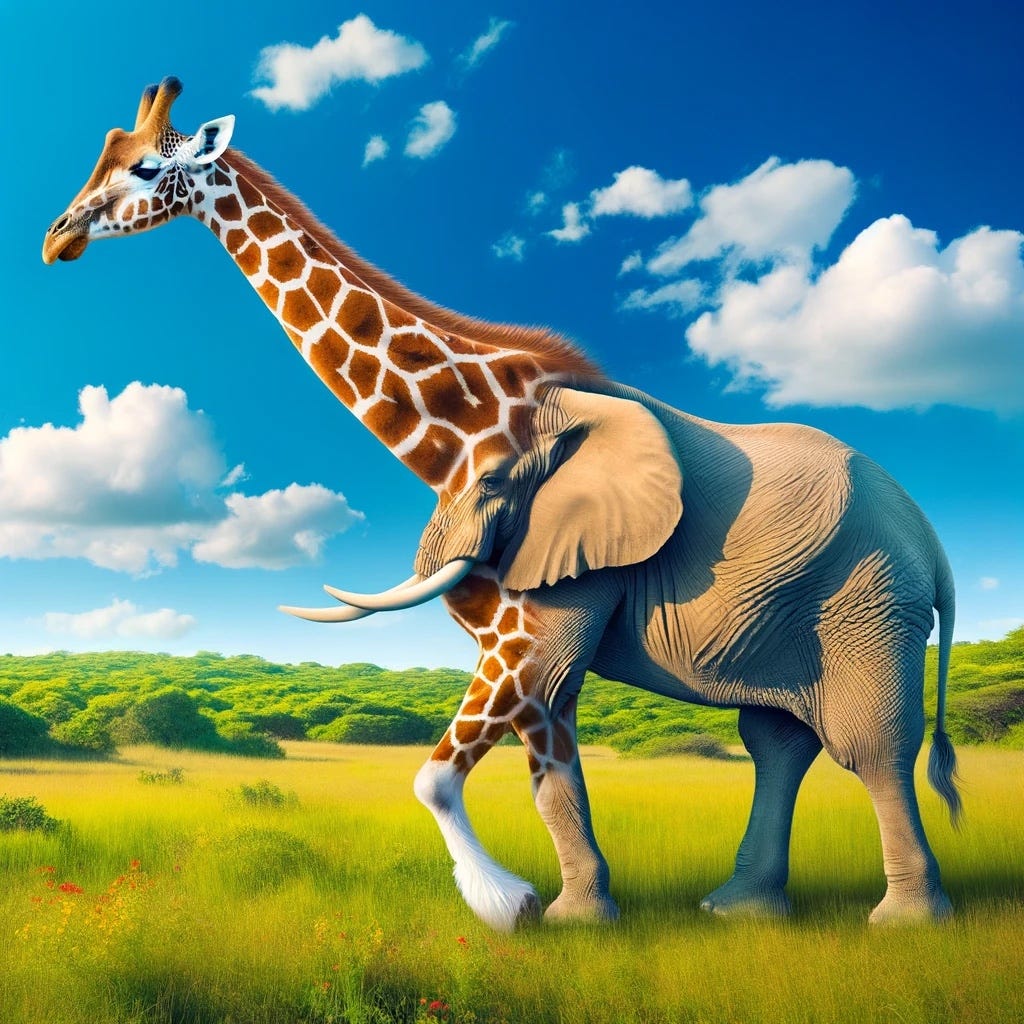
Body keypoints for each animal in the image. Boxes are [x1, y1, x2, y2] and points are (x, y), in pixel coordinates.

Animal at [43, 77, 614, 929]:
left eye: (146, 167)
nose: (57, 239)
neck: (467, 426)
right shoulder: (515, 641)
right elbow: (556, 783)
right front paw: (574, 910)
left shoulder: (530, 629)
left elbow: (458, 777)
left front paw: (507, 903)